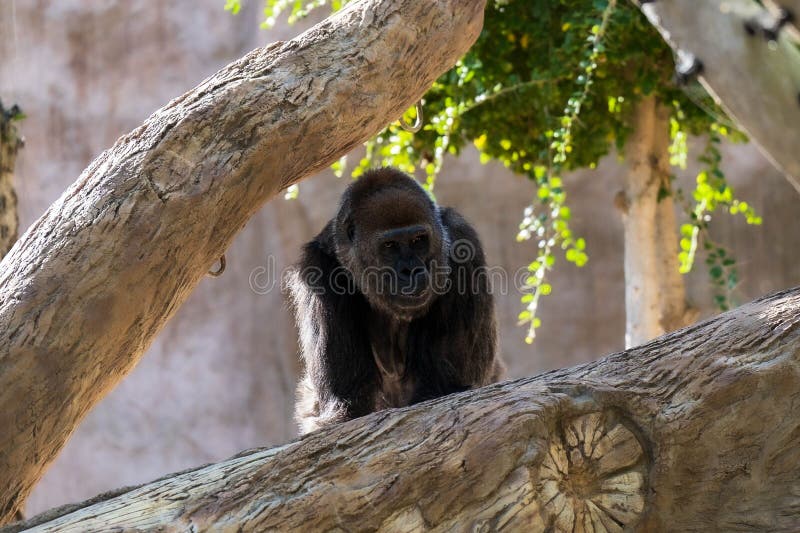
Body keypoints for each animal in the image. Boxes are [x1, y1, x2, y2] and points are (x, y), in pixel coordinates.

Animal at [286, 167, 503, 434]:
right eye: (389, 245)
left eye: (419, 240)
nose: (412, 271)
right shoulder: (317, 267)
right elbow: (349, 411)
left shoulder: (463, 238)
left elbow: (445, 390)